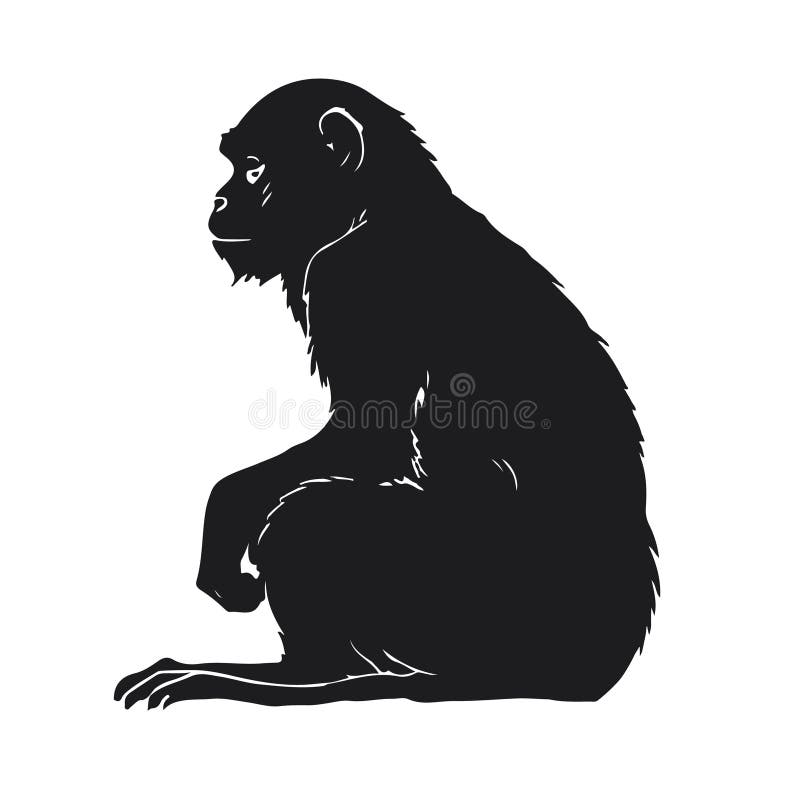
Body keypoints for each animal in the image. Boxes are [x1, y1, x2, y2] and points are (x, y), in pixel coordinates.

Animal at [115, 79, 659, 708]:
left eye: (252, 167)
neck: (370, 207)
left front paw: (226, 517)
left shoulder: (355, 280)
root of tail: (597, 668)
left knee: (312, 518)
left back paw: (288, 678)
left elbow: (369, 435)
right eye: (233, 165)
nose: (220, 200)